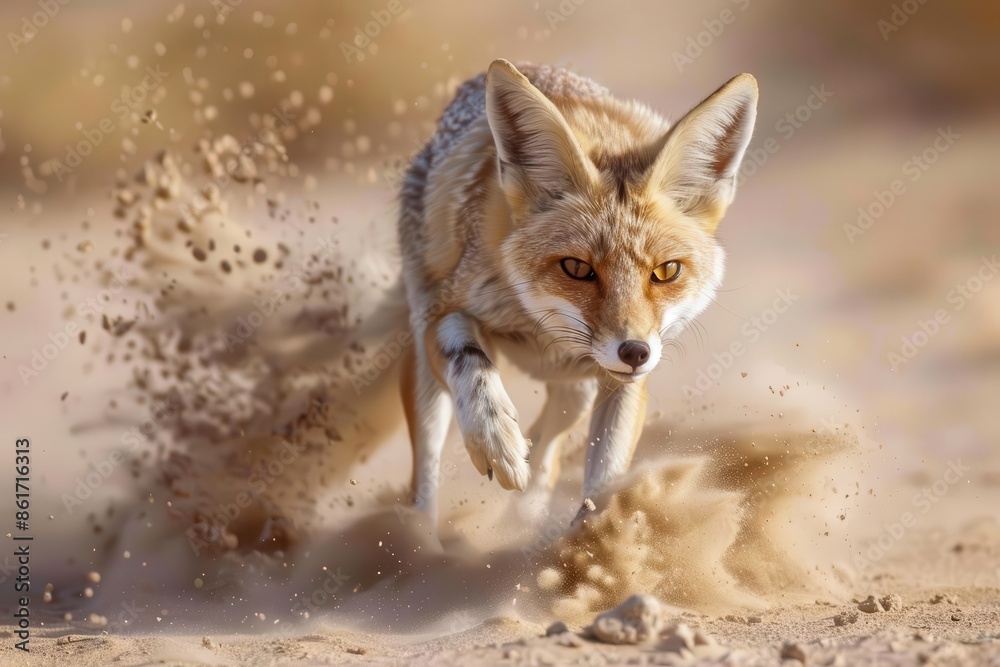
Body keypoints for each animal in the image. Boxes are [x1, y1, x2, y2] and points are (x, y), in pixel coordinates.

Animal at [395, 59, 758, 523]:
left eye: (666, 271)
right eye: (577, 268)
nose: (635, 352)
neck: (542, 332)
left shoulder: (623, 384)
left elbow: (603, 488)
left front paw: (594, 539)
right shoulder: (444, 312)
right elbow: (469, 358)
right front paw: (496, 438)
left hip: (580, 392)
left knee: (547, 451)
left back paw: (526, 513)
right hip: (426, 376)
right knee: (424, 484)